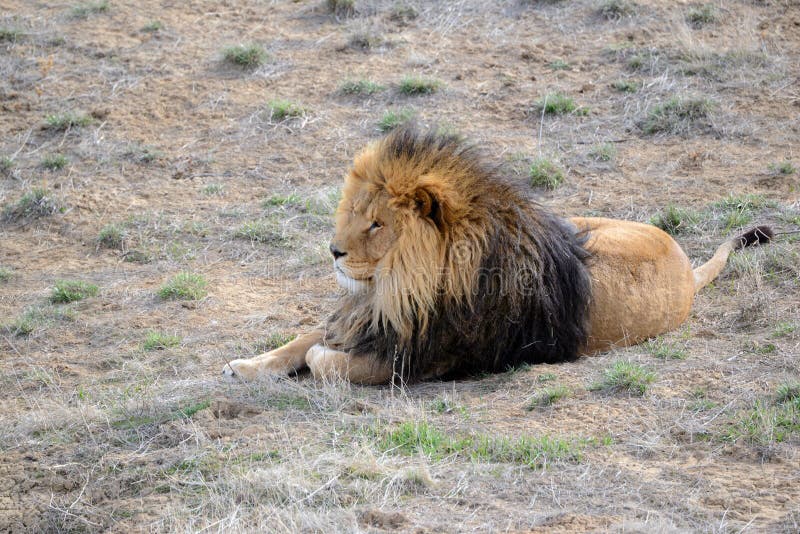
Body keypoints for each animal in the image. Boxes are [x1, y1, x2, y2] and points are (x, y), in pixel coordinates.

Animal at [222, 126, 772, 384]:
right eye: (355, 213)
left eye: (378, 224)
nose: (334, 251)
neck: (399, 285)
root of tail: (683, 263)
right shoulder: (371, 317)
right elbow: (300, 338)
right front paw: (246, 365)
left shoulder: (424, 358)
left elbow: (330, 363)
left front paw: (319, 357)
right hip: (581, 225)